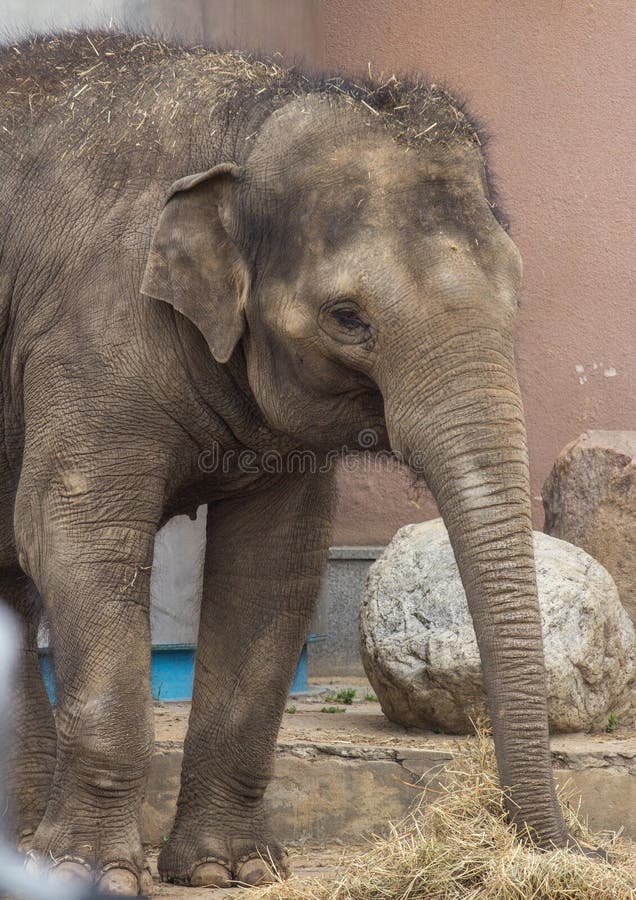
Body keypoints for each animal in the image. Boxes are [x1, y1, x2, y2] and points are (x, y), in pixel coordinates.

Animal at [0, 30, 593, 895]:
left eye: (515, 298)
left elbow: (272, 565)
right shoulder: (87, 338)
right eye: (348, 318)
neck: (245, 121)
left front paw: (230, 868)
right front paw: (92, 874)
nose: (572, 850)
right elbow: (77, 536)